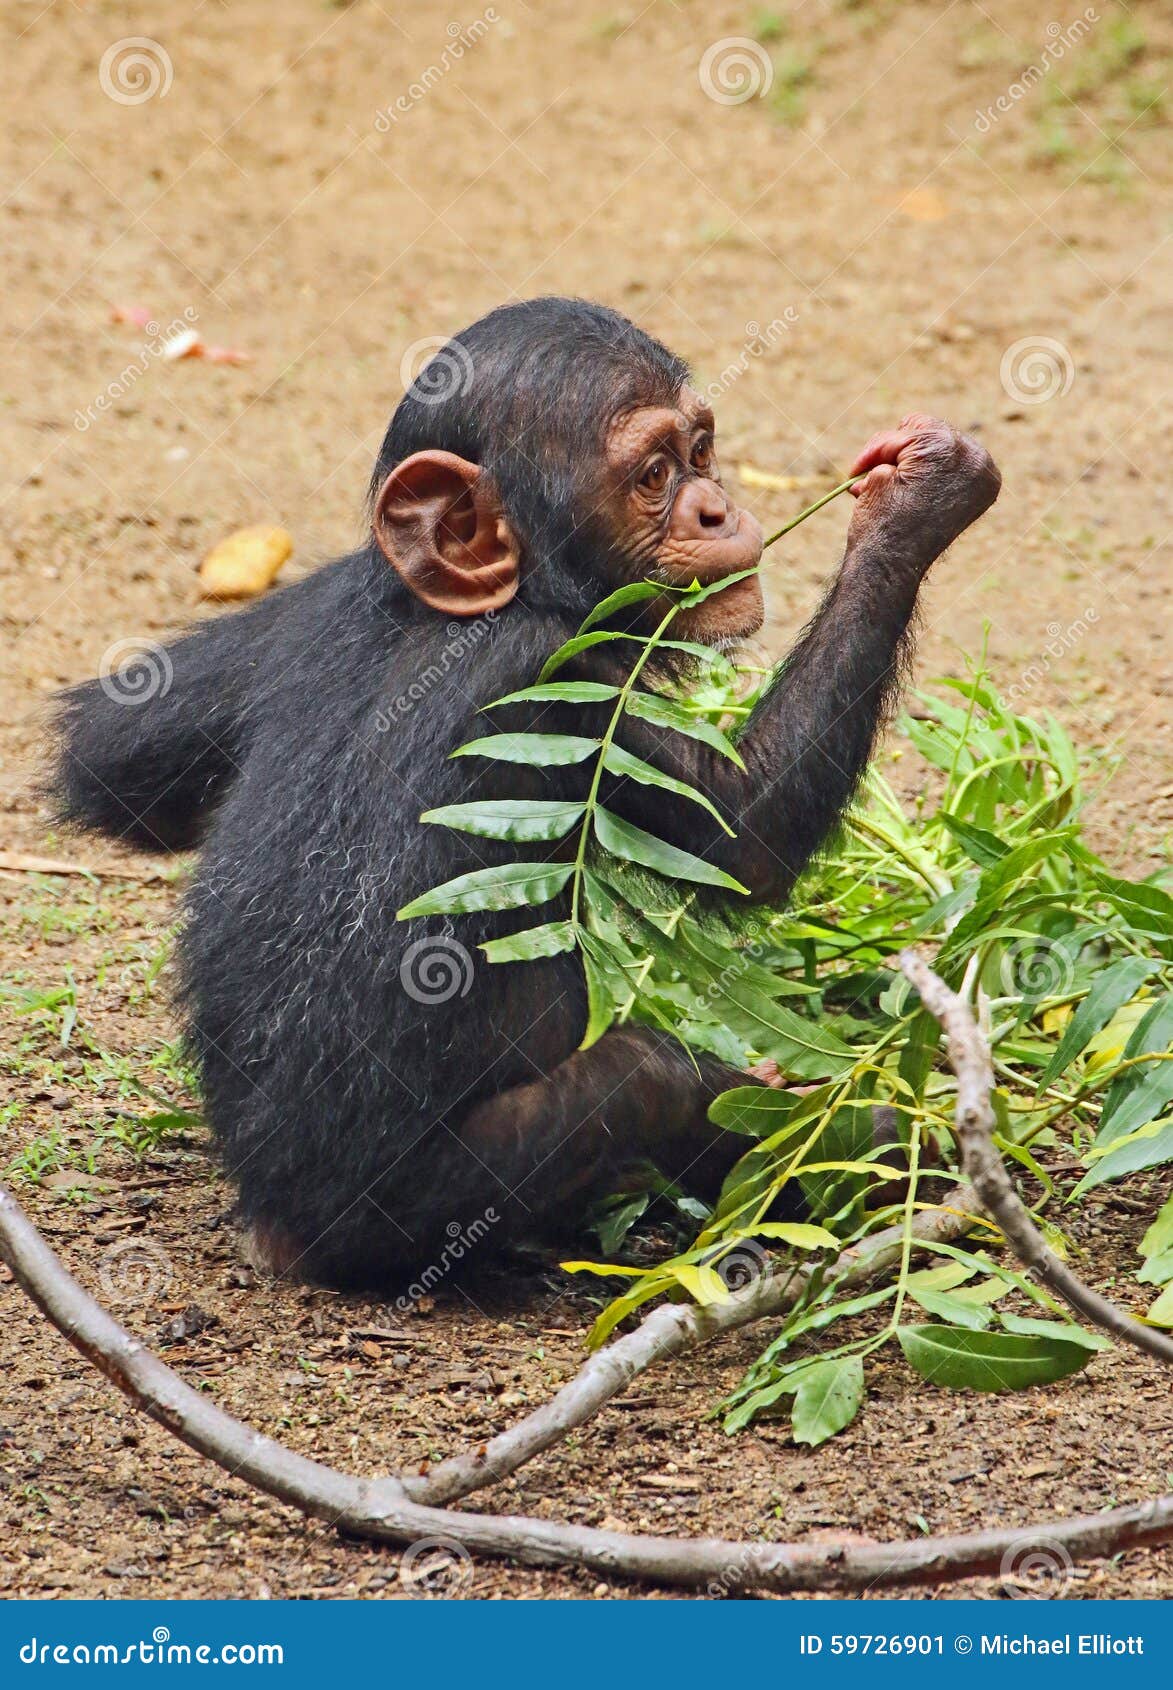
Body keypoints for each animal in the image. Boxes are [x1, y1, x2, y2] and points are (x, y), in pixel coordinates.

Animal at [52, 297, 1000, 1288]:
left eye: (700, 451)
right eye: (653, 474)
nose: (714, 505)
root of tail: (269, 1220)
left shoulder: (308, 603)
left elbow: (108, 749)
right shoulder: (559, 684)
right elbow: (747, 839)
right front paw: (919, 498)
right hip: (408, 1210)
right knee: (649, 1080)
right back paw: (856, 1148)